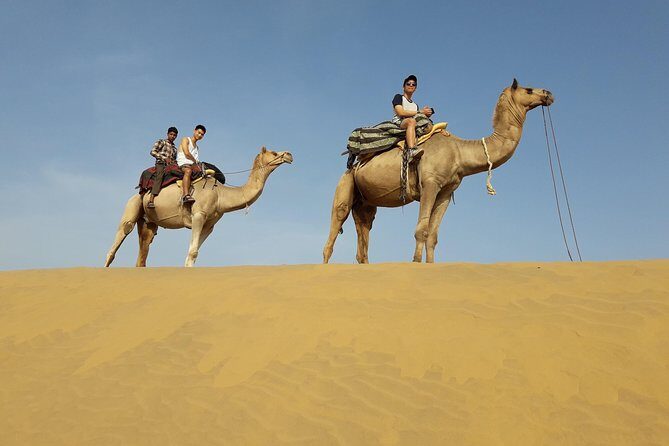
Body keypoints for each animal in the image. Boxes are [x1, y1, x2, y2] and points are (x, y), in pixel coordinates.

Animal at [105, 147, 293, 267]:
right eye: (274, 152)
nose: (289, 155)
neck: (220, 195)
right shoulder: (199, 215)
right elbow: (192, 252)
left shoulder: (209, 225)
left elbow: (193, 253)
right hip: (133, 205)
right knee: (117, 242)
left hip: (148, 222)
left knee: (143, 254)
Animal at [323, 79, 554, 264]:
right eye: (529, 90)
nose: (548, 94)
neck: (459, 151)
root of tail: (353, 164)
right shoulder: (430, 183)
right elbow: (422, 230)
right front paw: (416, 263)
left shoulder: (446, 191)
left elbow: (433, 236)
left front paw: (430, 266)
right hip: (345, 183)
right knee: (335, 225)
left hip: (365, 202)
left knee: (364, 235)